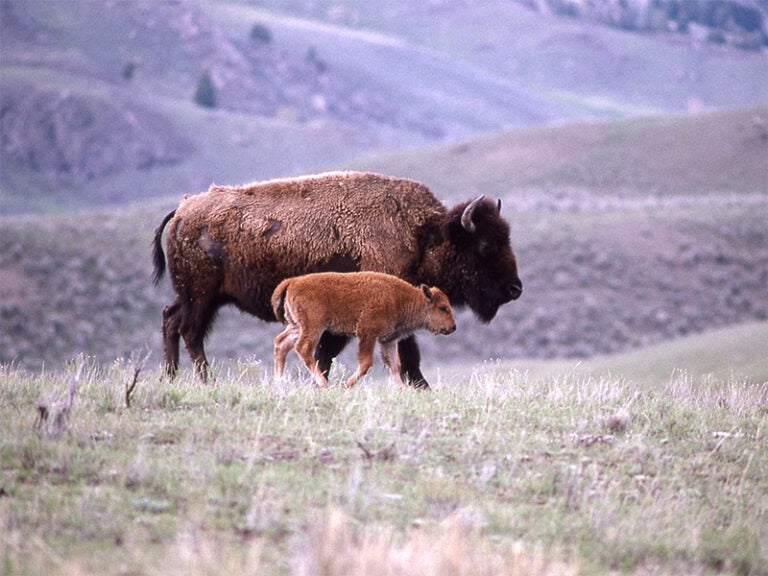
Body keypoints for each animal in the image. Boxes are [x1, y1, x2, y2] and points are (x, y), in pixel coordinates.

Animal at [152, 170, 522, 388]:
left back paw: (169, 377)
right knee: (190, 330)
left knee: (170, 319)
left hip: (198, 297)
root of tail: (182, 211)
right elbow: (404, 350)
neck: (422, 235)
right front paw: (422, 387)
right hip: (201, 296)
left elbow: (334, 351)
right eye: (486, 245)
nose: (515, 288)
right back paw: (206, 381)